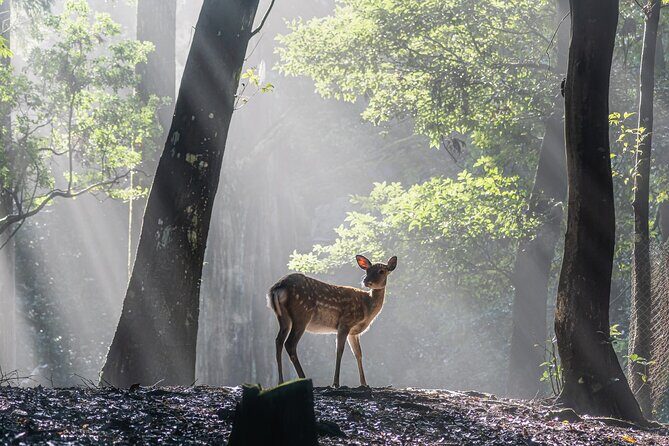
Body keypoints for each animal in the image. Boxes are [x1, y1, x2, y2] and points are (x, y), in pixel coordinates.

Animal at [267, 255, 397, 388]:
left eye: (381, 271)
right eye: (367, 270)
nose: (366, 281)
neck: (367, 308)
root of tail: (278, 287)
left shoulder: (353, 332)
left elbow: (358, 354)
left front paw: (364, 384)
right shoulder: (345, 322)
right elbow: (339, 351)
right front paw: (335, 383)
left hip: (283, 317)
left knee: (278, 341)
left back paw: (280, 382)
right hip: (301, 315)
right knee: (290, 344)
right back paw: (303, 377)